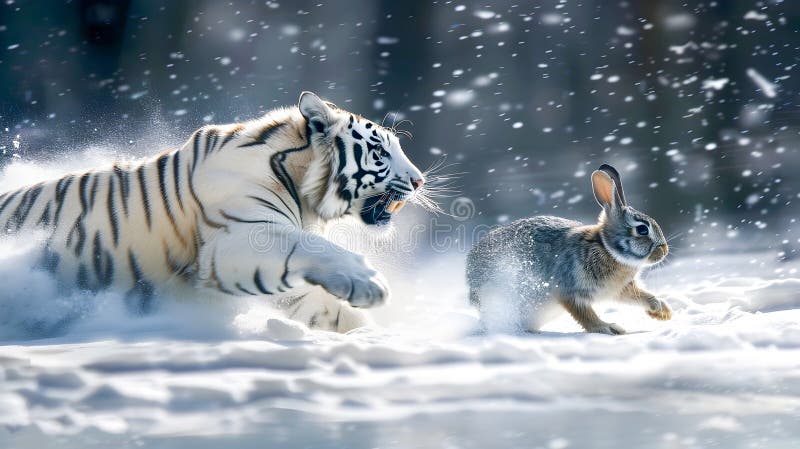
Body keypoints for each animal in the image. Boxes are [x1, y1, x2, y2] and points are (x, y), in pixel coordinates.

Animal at [0, 91, 426, 333]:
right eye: (380, 150)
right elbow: (309, 248)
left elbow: (318, 303)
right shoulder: (237, 242)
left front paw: (371, 335)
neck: (306, 197)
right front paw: (370, 283)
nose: (419, 180)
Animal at [466, 164, 671, 335]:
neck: (606, 249)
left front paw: (662, 311)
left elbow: (641, 295)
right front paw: (609, 328)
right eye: (642, 229)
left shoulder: (620, 289)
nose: (664, 250)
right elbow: (585, 315)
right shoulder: (569, 289)